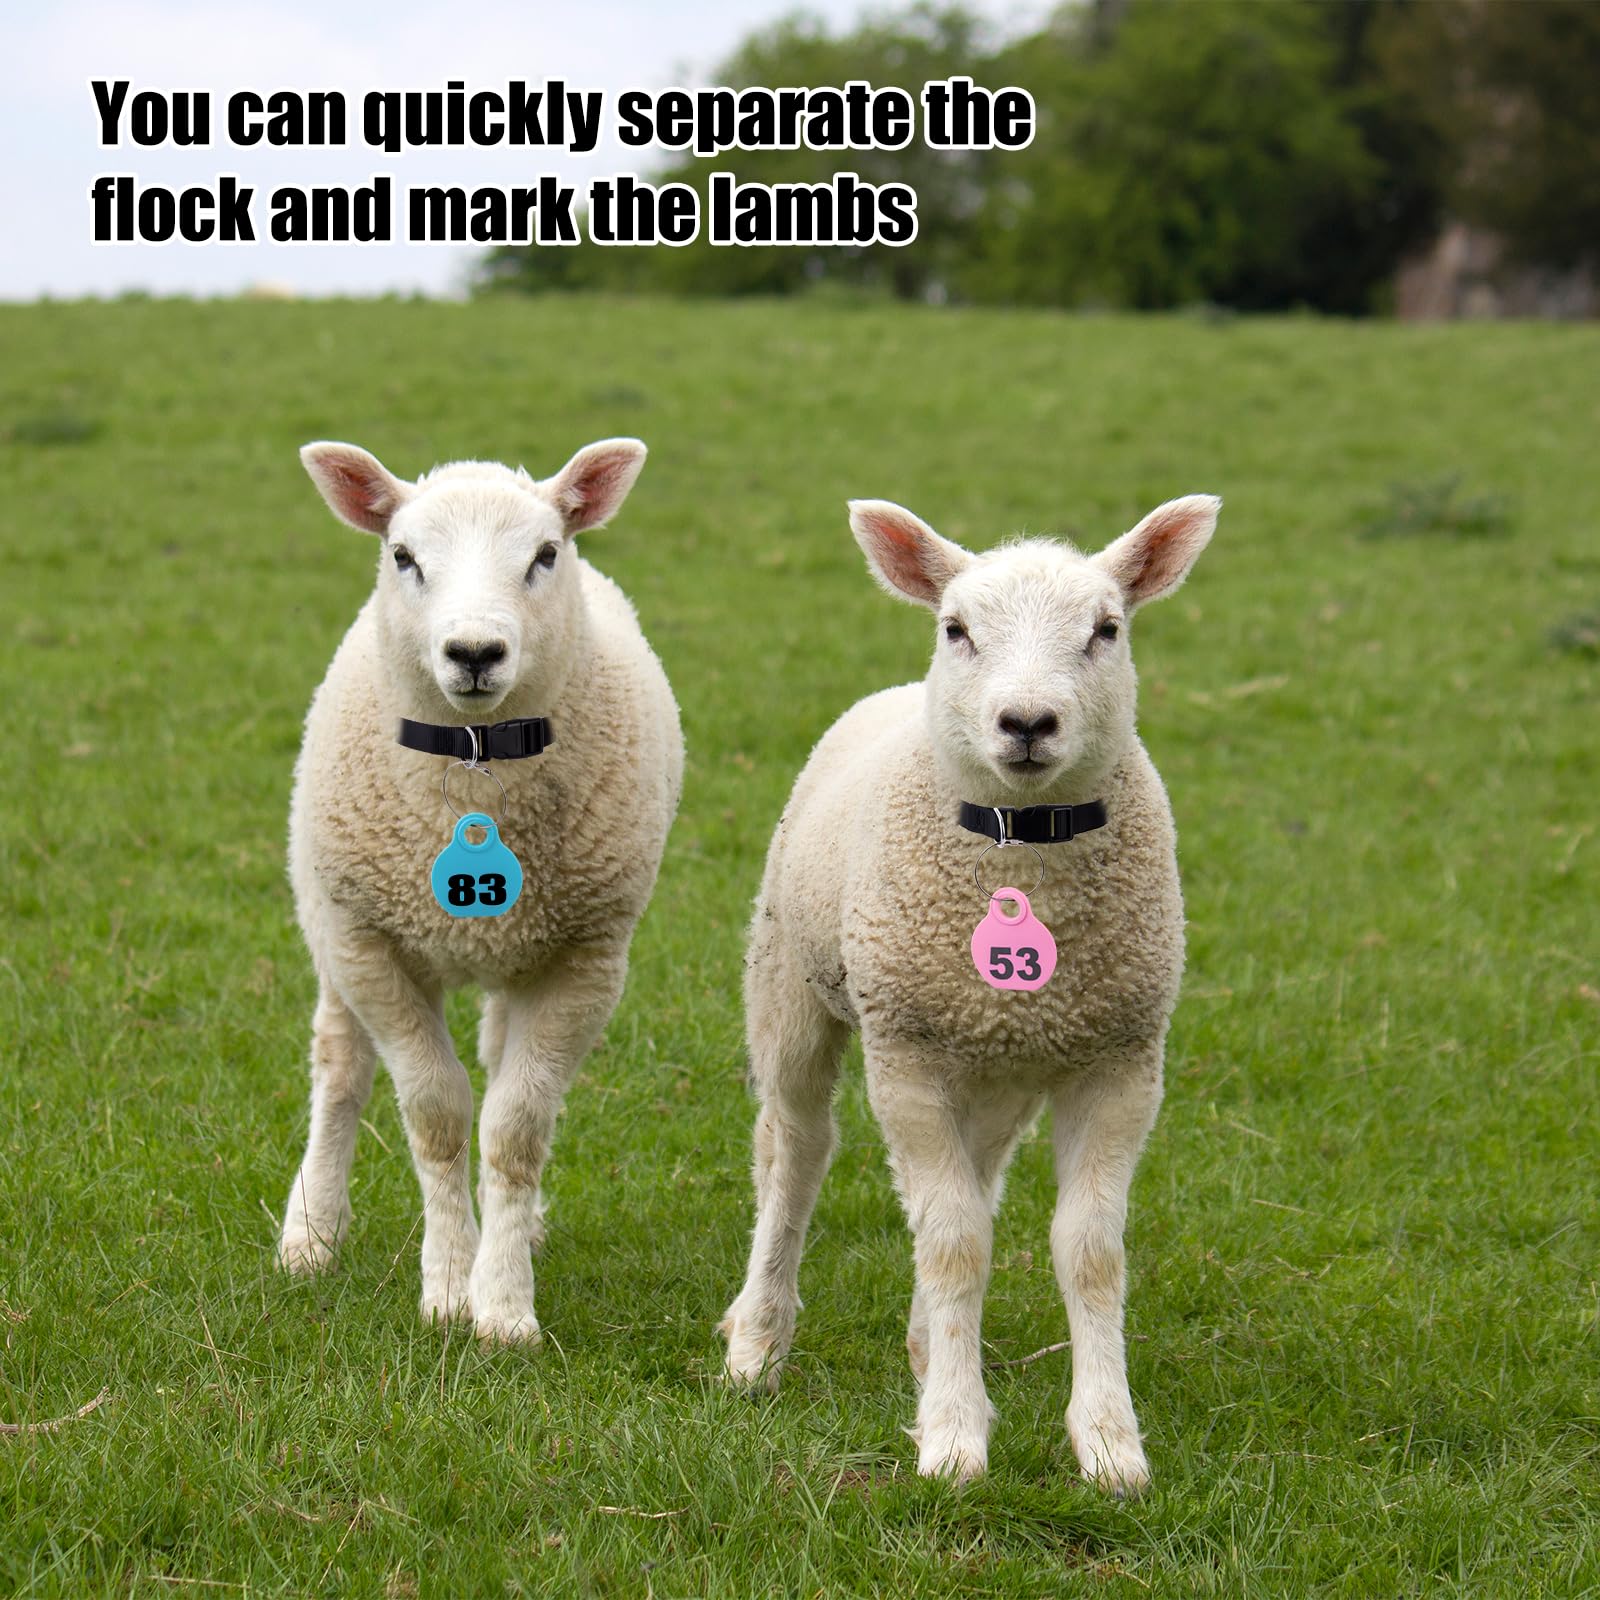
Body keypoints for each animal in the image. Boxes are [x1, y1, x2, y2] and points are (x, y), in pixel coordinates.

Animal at [277, 438, 683, 1346]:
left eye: (545, 555)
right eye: (403, 556)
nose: (473, 653)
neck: (475, 762)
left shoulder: (586, 958)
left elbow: (513, 1127)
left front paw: (501, 1304)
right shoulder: (371, 945)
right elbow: (436, 1115)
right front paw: (447, 1288)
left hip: (523, 945)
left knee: (499, 1064)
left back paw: (517, 1227)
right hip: (328, 918)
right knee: (340, 1066)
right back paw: (311, 1231)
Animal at [720, 492, 1219, 1492]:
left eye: (1107, 629)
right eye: (957, 629)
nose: (1027, 722)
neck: (1021, 843)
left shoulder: (1122, 1061)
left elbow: (1085, 1253)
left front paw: (1109, 1442)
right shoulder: (906, 1057)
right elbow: (954, 1244)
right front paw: (954, 1440)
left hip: (993, 1070)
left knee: (971, 1186)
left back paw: (922, 1346)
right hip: (795, 986)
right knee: (794, 1153)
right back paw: (757, 1339)